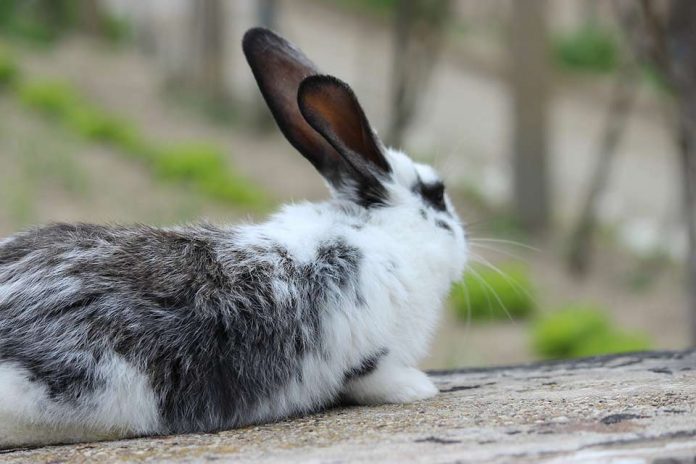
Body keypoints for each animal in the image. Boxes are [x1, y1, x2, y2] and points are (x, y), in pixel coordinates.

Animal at [0, 27, 467, 449]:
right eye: (436, 194)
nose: (465, 246)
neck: (378, 234)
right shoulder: (372, 356)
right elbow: (376, 378)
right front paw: (418, 387)